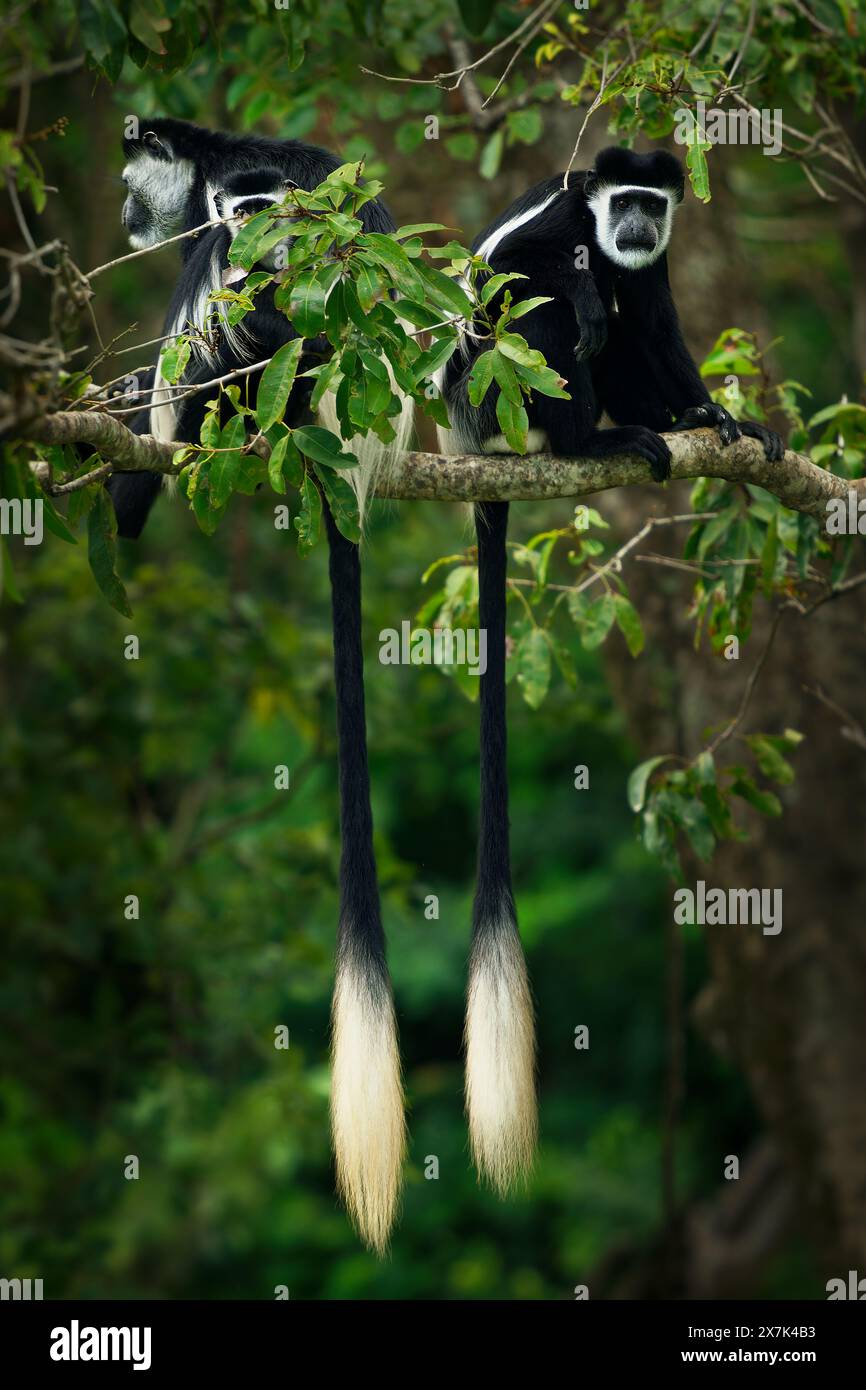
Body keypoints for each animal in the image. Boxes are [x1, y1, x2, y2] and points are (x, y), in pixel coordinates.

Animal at [436, 145, 784, 1193]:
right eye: (619, 199)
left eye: (651, 205)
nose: (631, 225)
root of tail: (472, 446)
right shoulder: (558, 221)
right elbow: (526, 275)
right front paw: (584, 290)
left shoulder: (655, 263)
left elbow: (660, 322)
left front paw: (717, 410)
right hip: (494, 397)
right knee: (547, 319)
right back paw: (595, 430)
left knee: (628, 331)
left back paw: (680, 421)